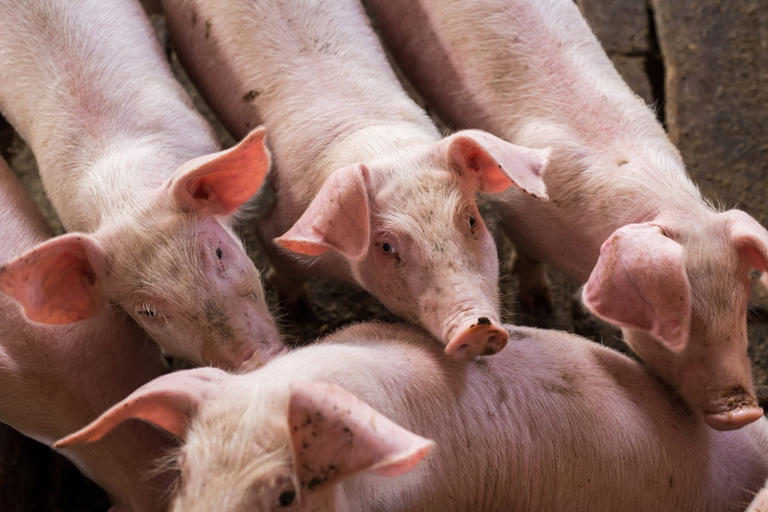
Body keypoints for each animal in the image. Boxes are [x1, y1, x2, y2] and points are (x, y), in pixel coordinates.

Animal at [159, 0, 550, 359]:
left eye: (471, 219)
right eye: (386, 246)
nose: (478, 327)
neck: (382, 146)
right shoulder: (282, 220)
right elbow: (270, 242)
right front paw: (301, 312)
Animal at [365, 0, 768, 428]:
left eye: (743, 308)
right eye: (676, 319)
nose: (744, 410)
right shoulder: (520, 213)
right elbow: (528, 255)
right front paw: (539, 306)